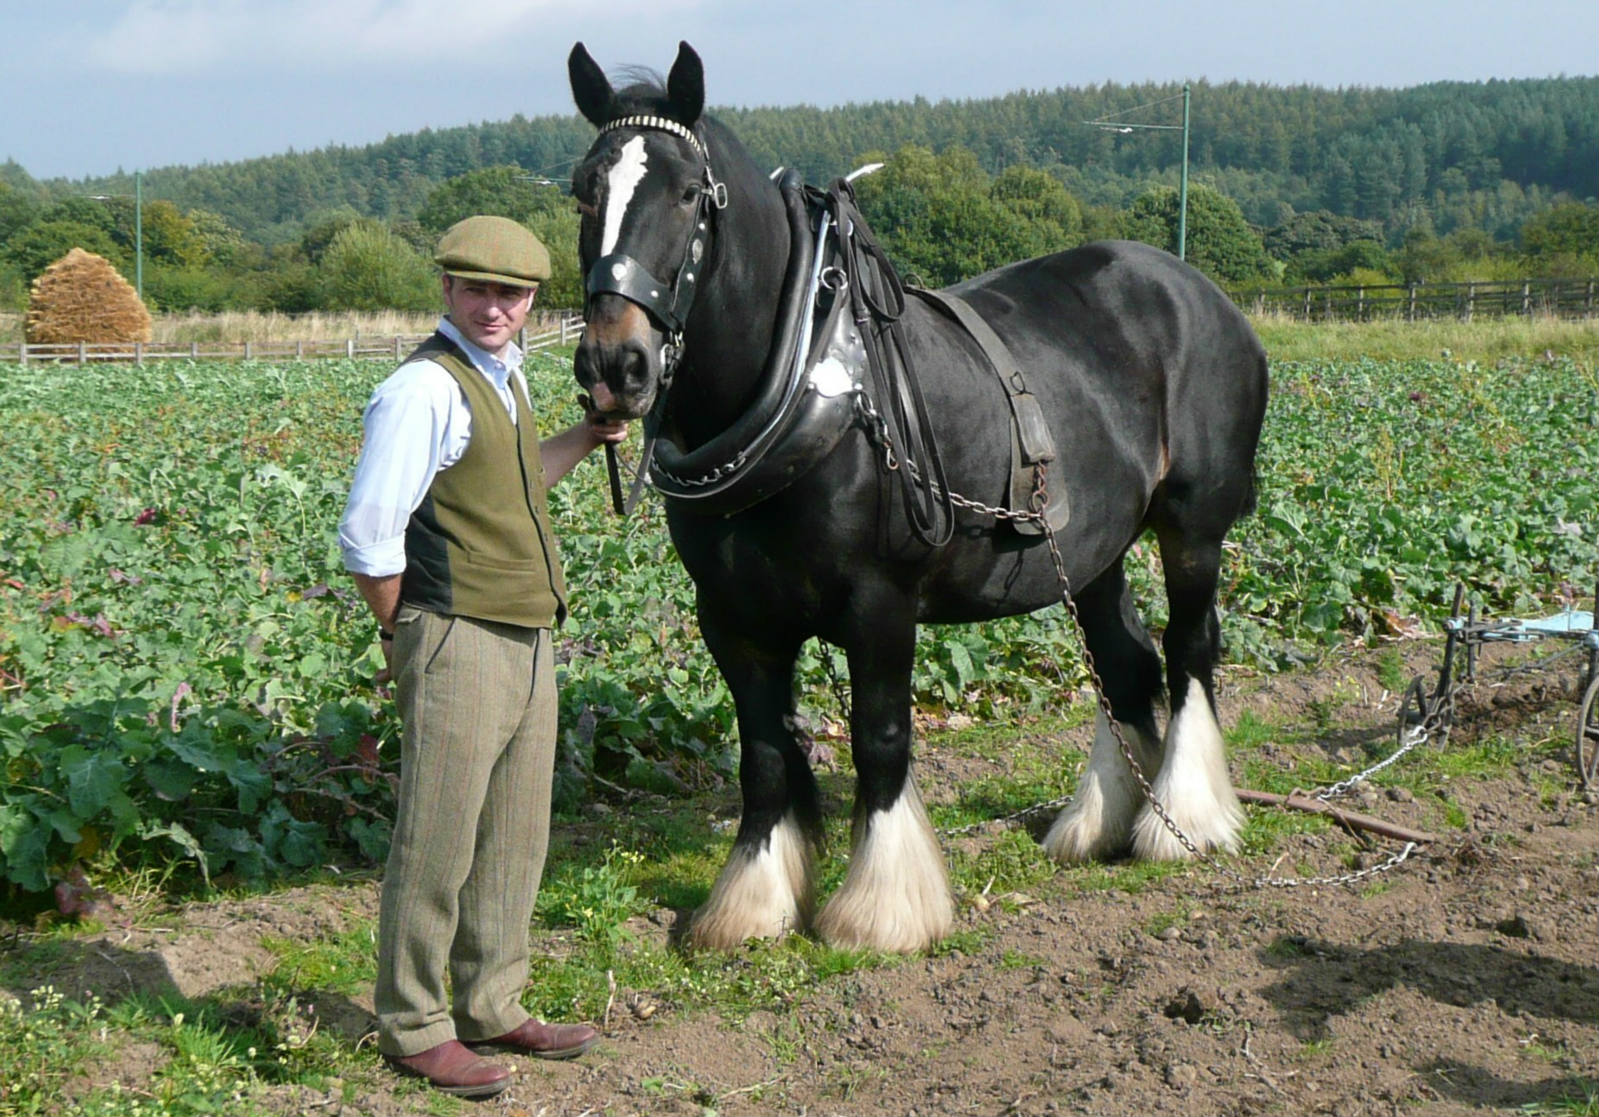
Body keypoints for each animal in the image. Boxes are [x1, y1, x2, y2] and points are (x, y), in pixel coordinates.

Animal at [567, 41, 1269, 953]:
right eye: (585, 188)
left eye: (688, 192)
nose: (615, 365)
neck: (800, 377)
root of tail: (1200, 291)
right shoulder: (731, 618)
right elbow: (763, 752)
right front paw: (751, 901)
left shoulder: (880, 603)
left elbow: (880, 738)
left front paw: (881, 905)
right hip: (1092, 551)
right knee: (1124, 664)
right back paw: (1103, 821)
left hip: (1192, 529)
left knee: (1188, 652)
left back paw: (1183, 819)